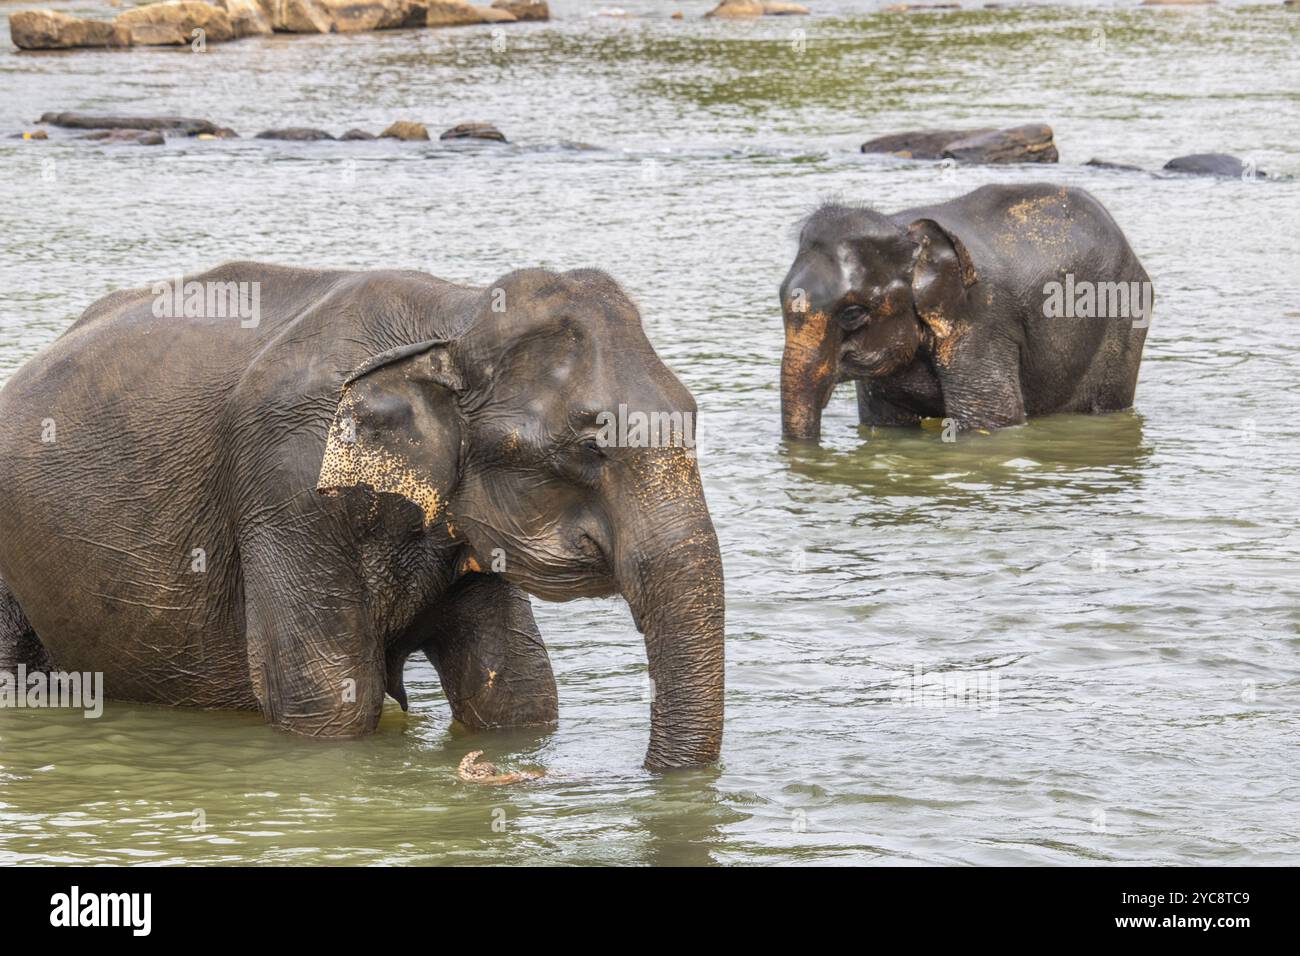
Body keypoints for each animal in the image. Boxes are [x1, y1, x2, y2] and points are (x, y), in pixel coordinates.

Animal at [0, 262, 724, 771]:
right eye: (589, 444)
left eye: (693, 415)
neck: (453, 317)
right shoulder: (286, 482)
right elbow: (327, 698)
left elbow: (515, 689)